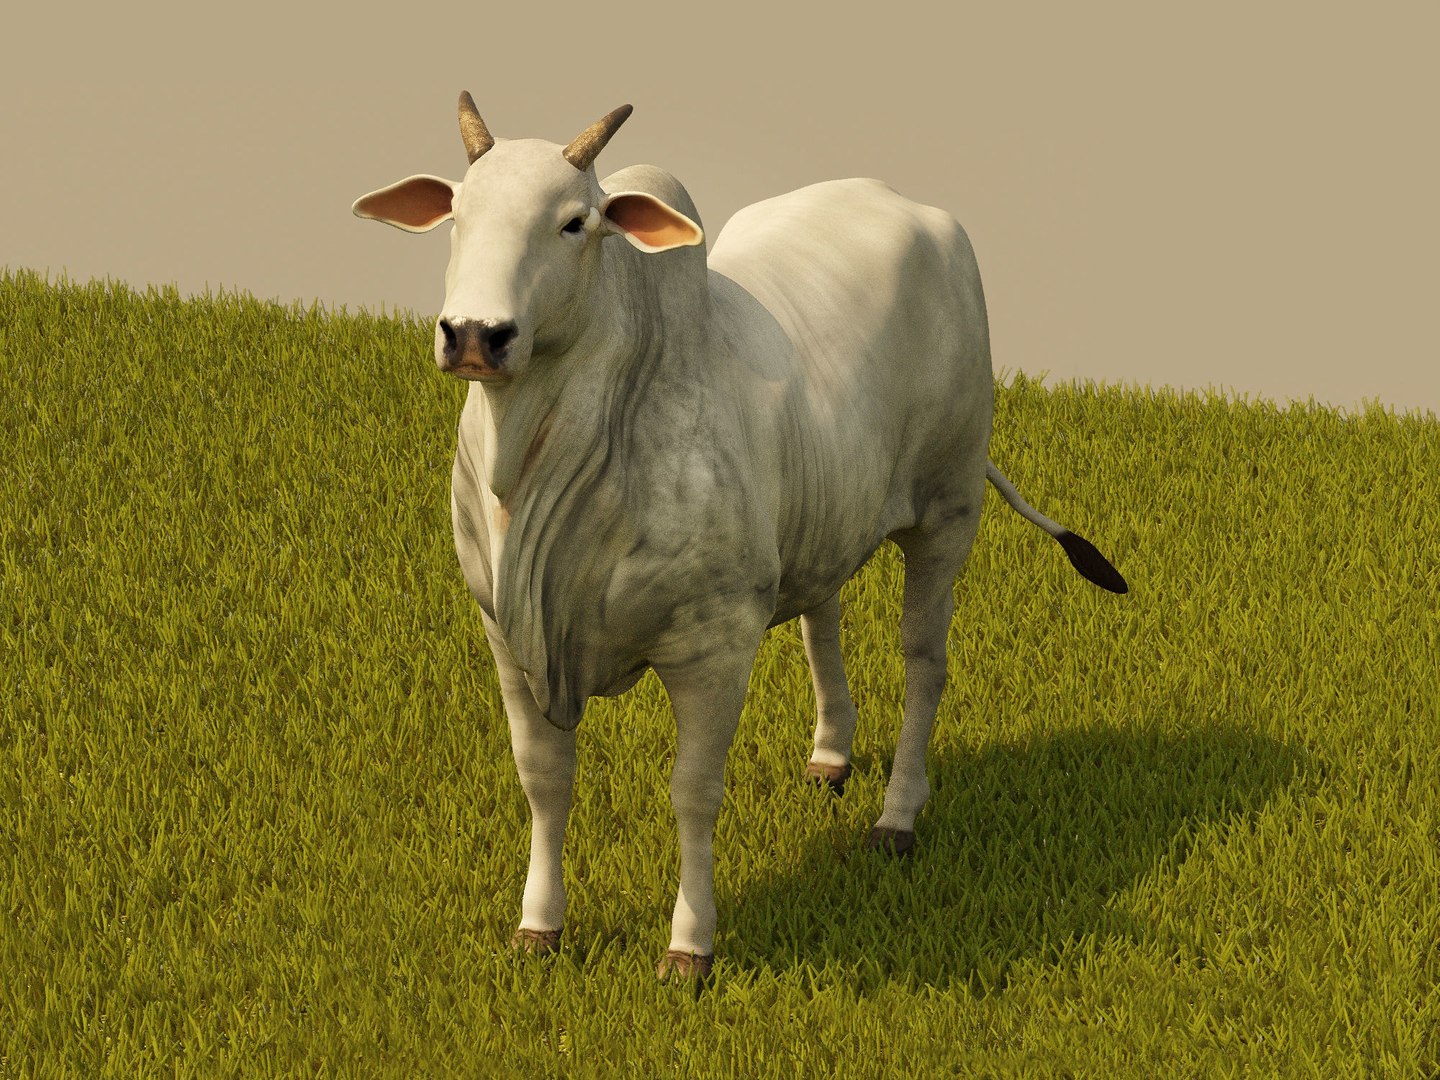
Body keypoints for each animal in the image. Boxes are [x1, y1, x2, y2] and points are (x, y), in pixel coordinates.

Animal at [352, 94, 1128, 982]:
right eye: (457, 215)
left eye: (575, 222)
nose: (476, 335)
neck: (555, 466)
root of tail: (911, 206)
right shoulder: (507, 635)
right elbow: (544, 779)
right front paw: (537, 927)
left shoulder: (712, 644)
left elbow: (692, 792)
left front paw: (690, 945)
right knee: (823, 616)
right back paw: (830, 757)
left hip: (949, 508)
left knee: (924, 660)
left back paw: (897, 815)